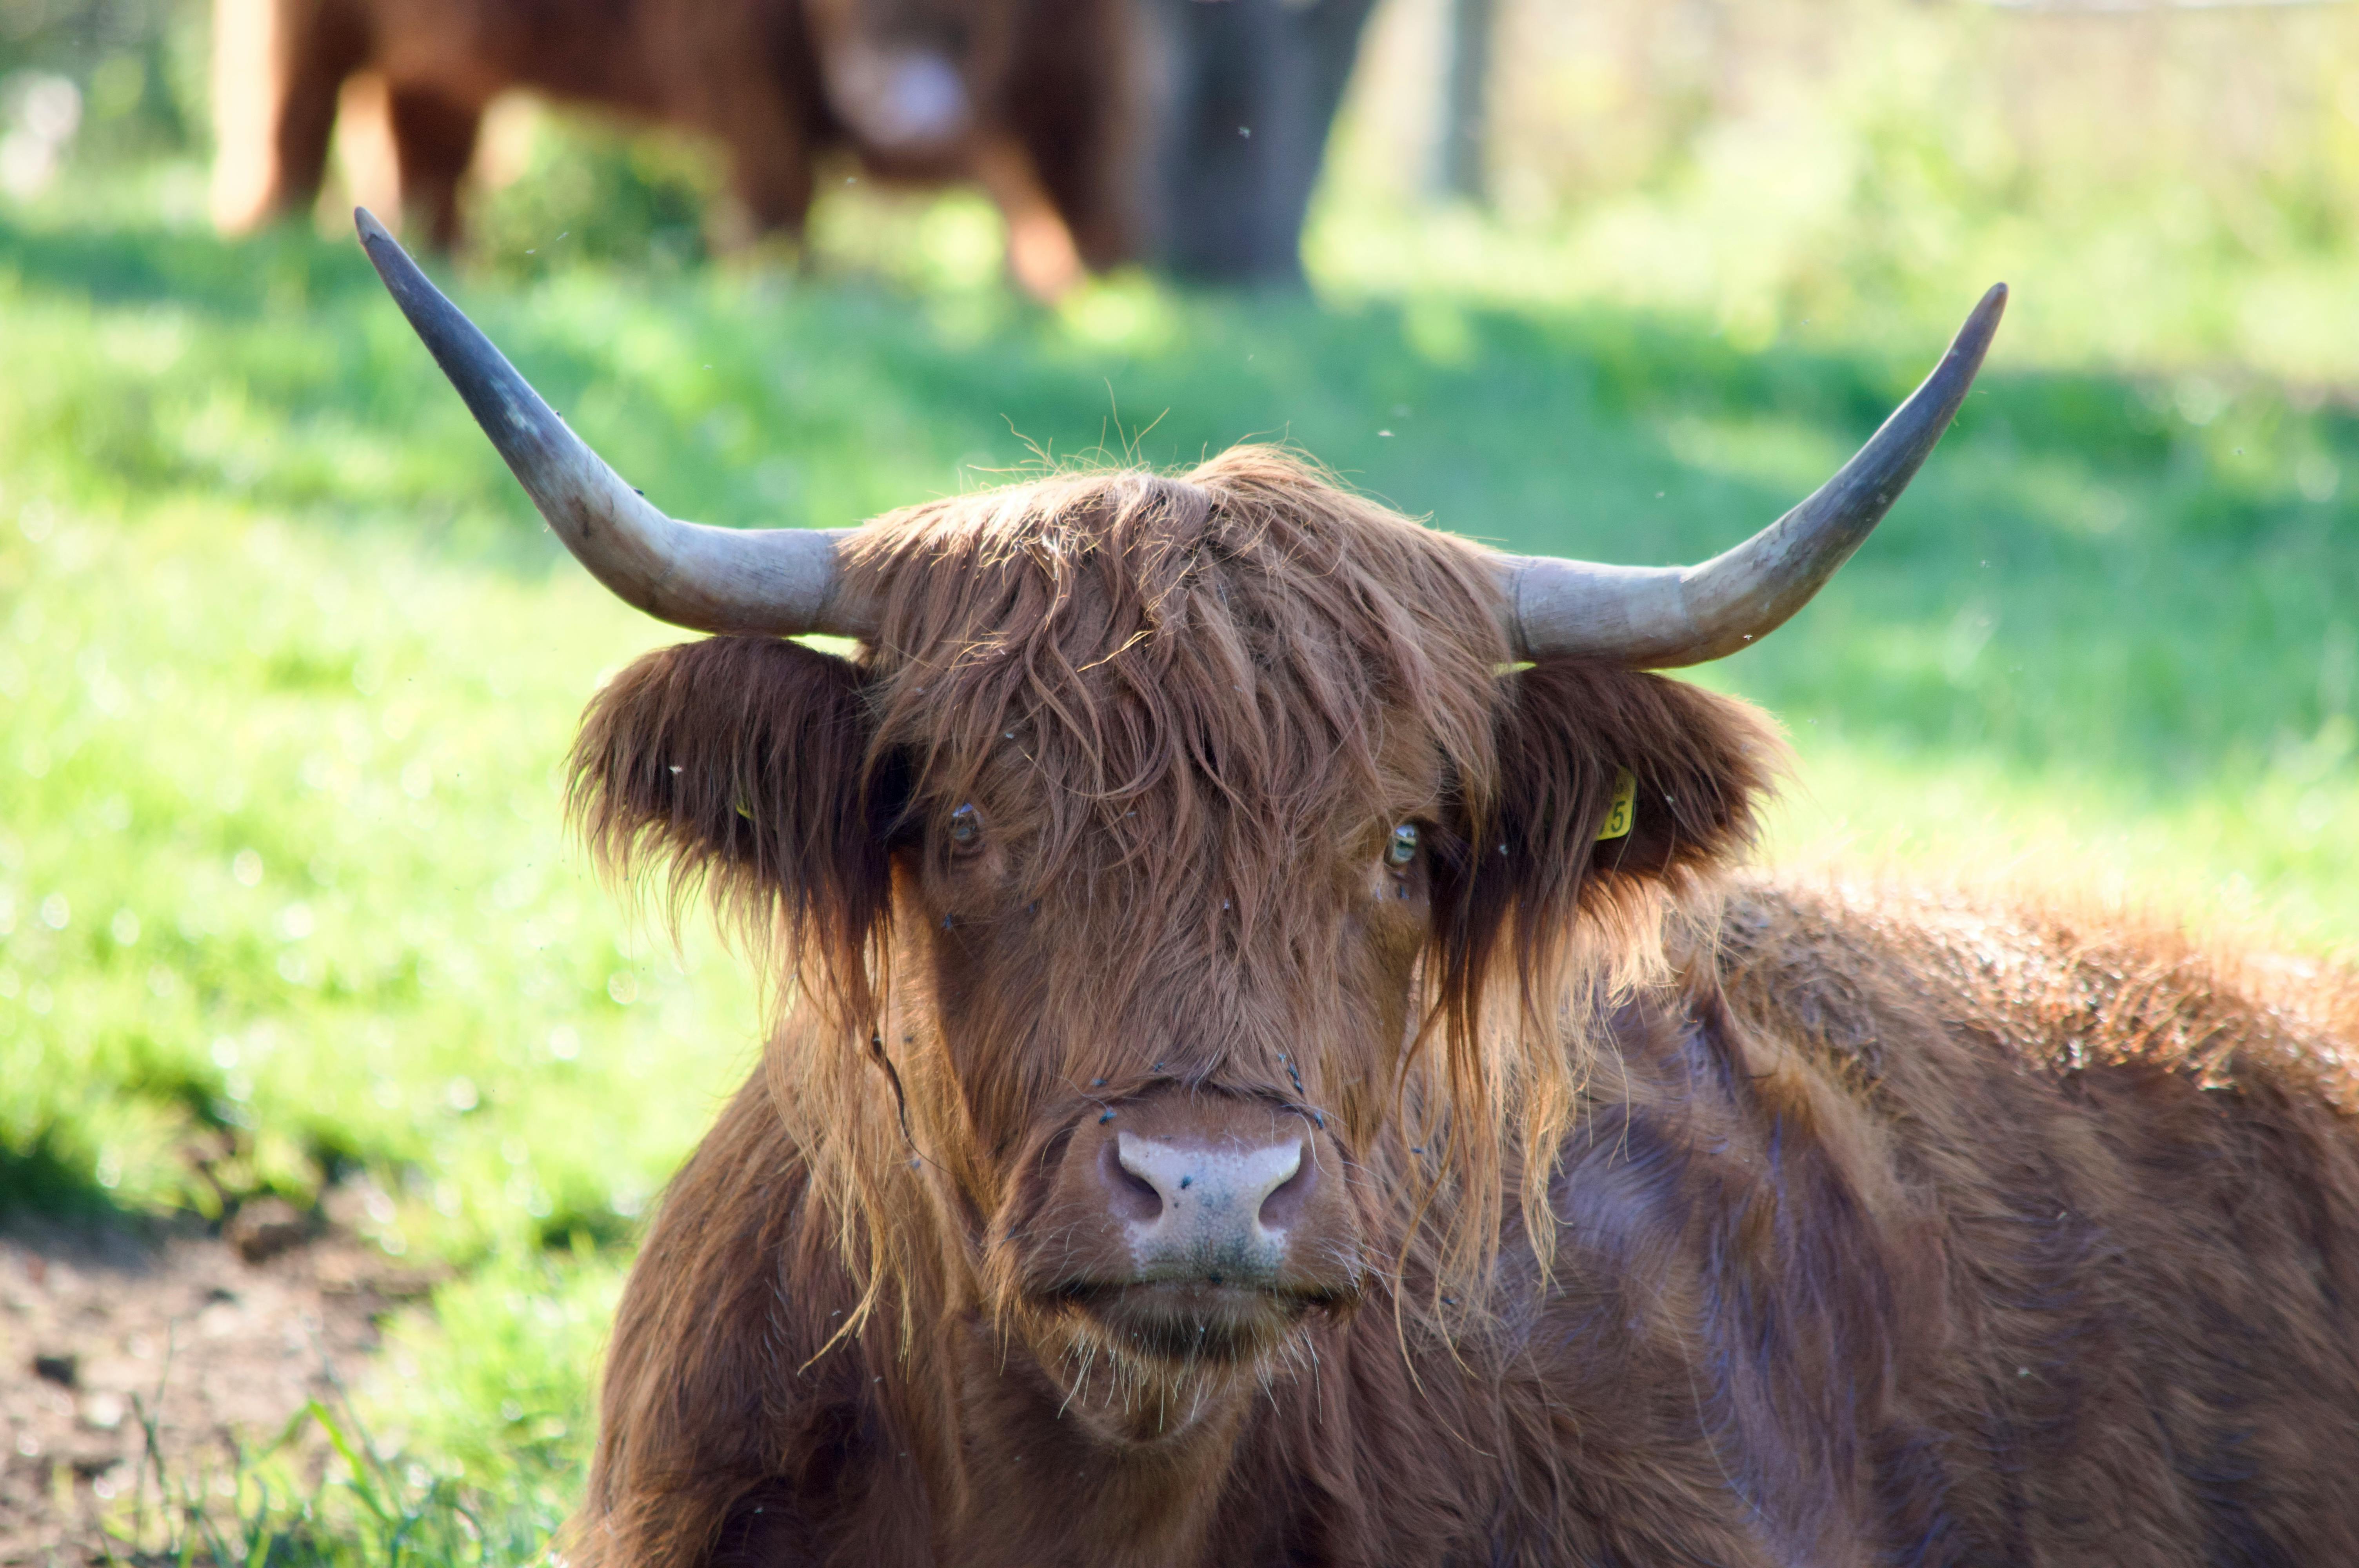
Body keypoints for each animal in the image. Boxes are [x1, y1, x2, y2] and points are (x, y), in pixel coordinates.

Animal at [210, 0, 1133, 298]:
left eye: (968, 26)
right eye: (878, 16)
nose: (920, 117)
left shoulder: (1075, 62)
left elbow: (1078, 186)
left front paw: (1089, 299)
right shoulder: (739, 57)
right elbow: (774, 187)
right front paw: (775, 282)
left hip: (440, 59)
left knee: (427, 156)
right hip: (314, 27)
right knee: (289, 116)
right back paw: (266, 232)